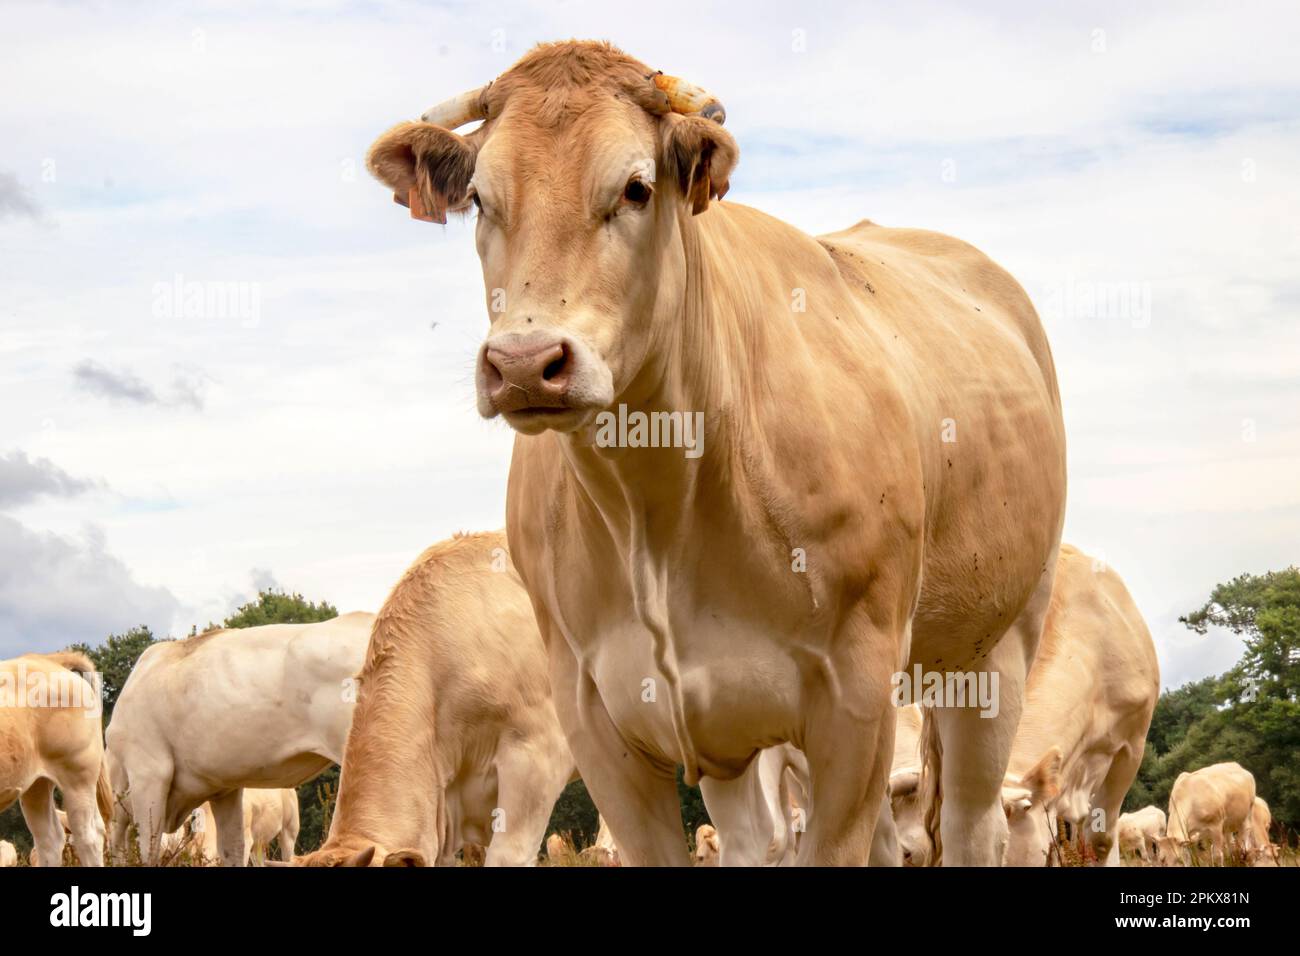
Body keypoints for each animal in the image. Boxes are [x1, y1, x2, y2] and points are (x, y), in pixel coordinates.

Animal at [365, 39, 1067, 866]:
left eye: (636, 188)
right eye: (479, 199)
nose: (525, 363)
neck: (657, 505)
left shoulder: (855, 706)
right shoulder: (597, 715)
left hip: (997, 652)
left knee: (969, 823)